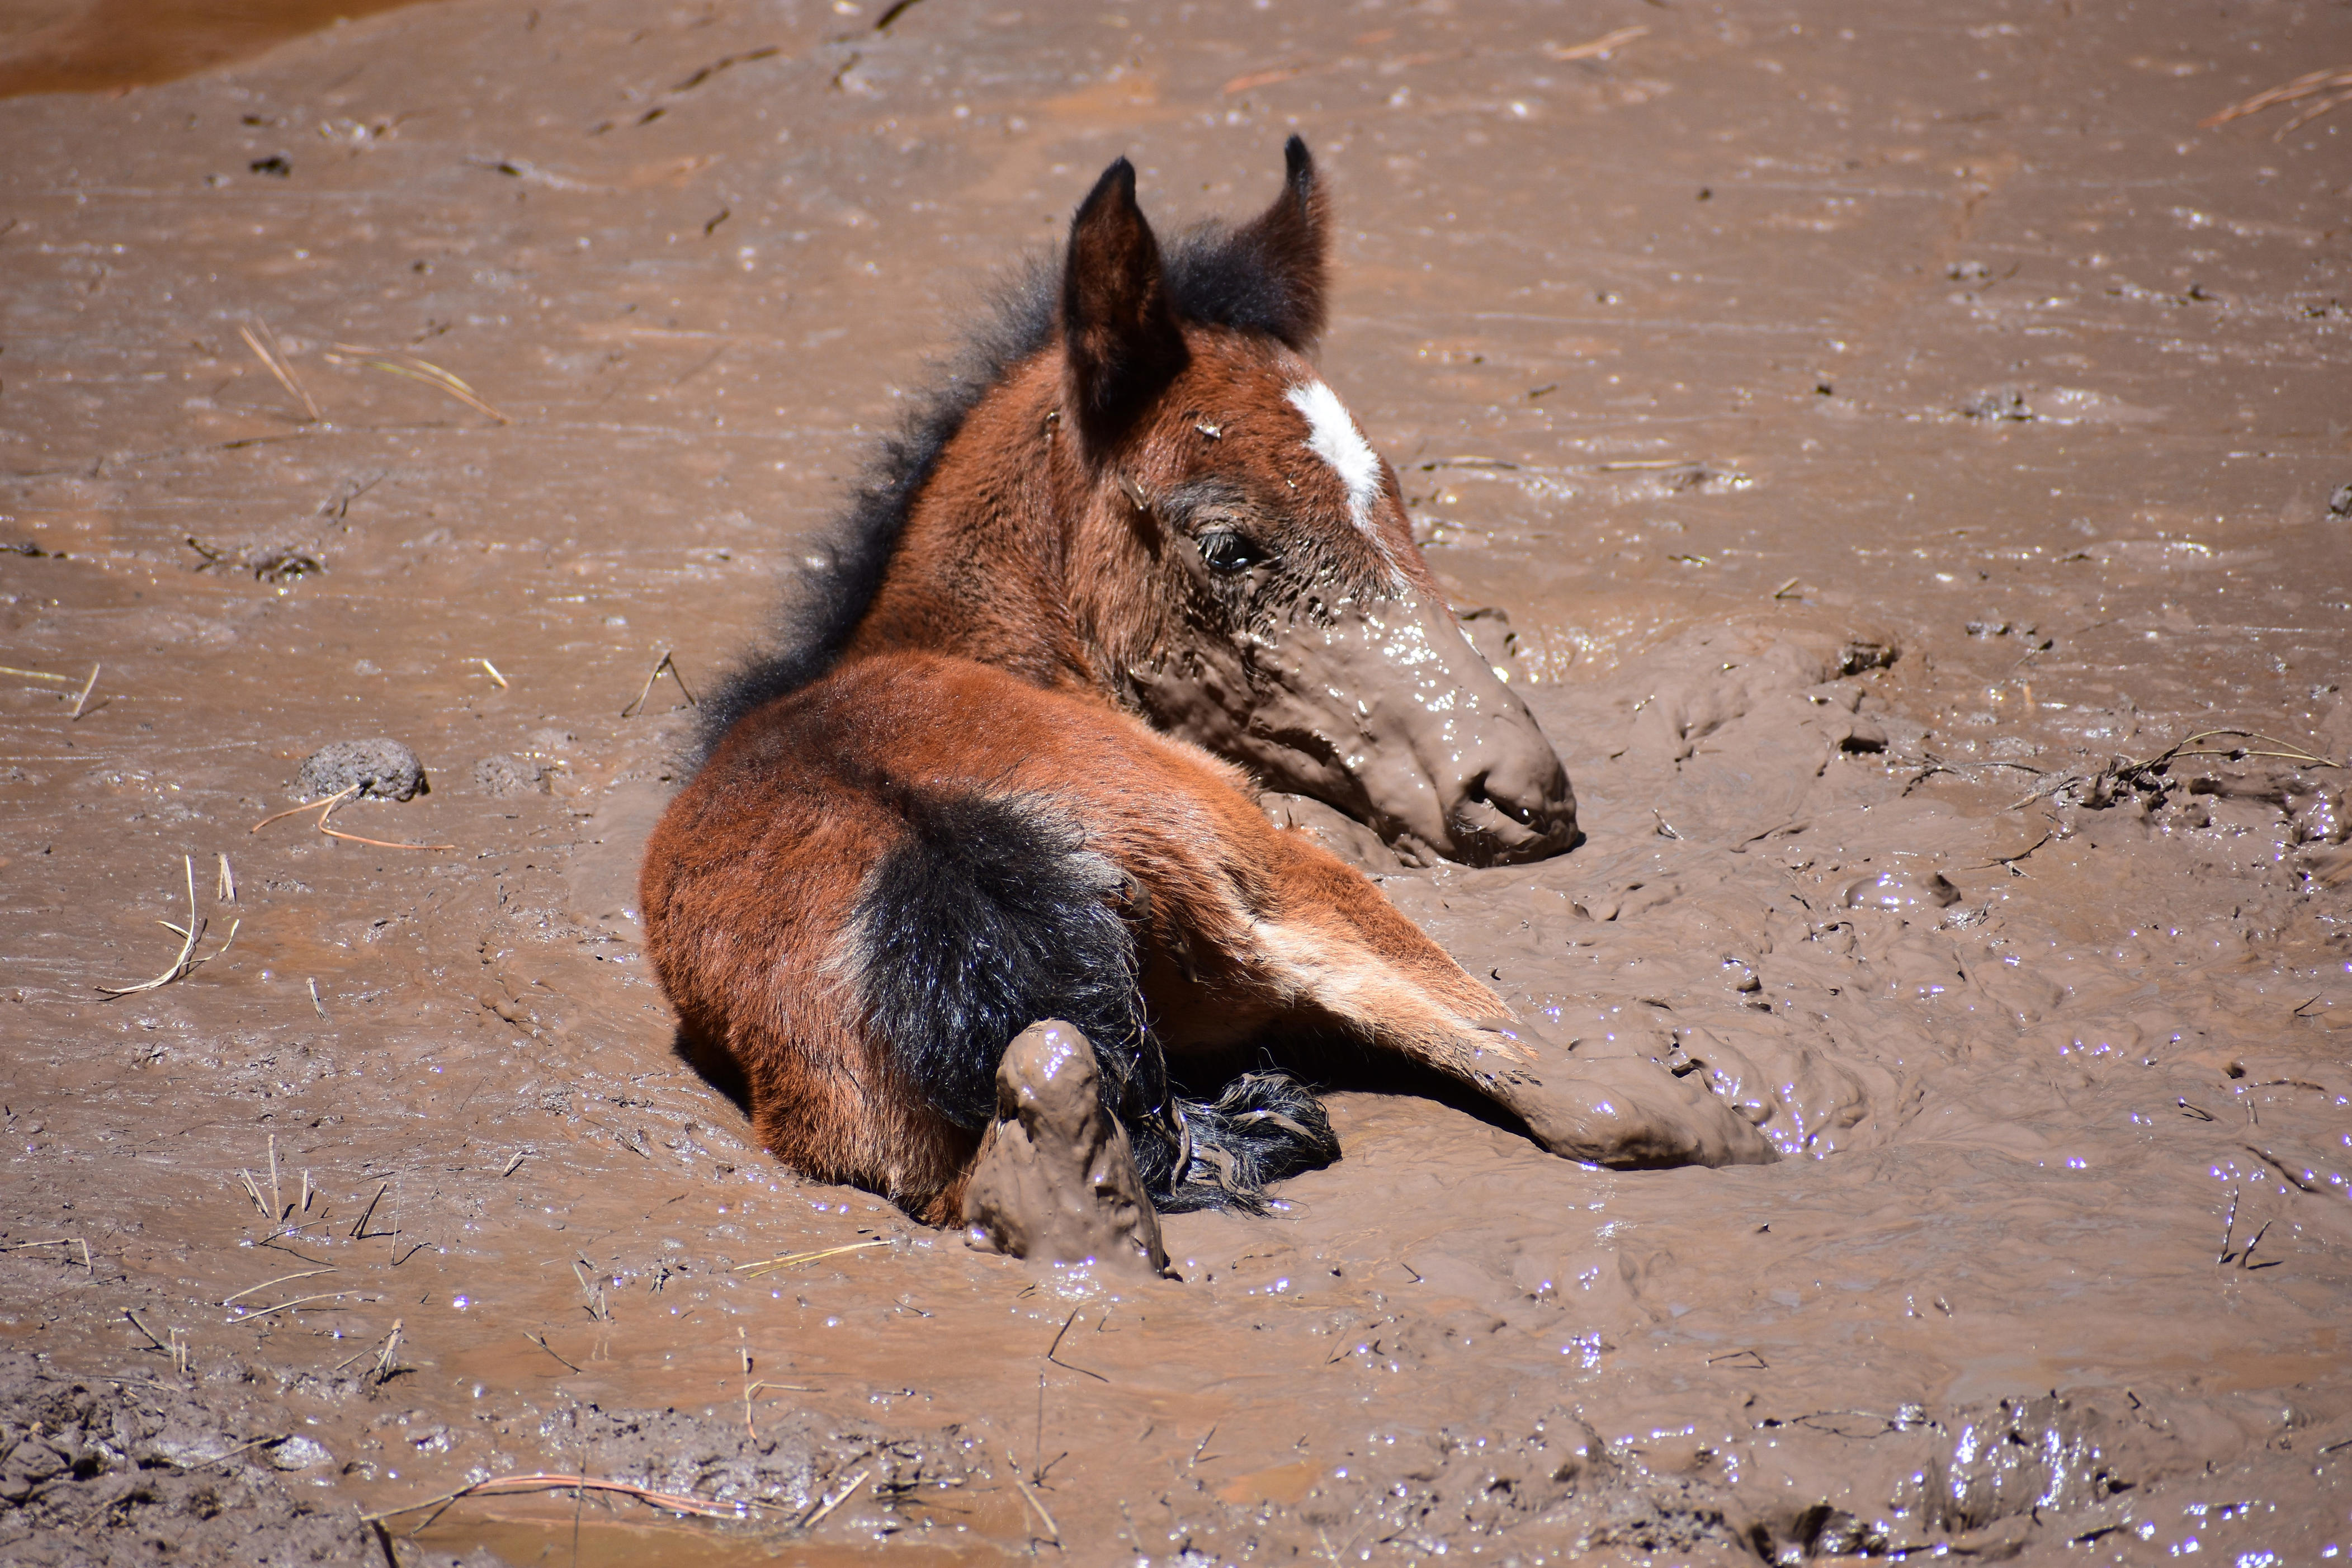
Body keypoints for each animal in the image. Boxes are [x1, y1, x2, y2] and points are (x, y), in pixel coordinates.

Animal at [641, 139, 1774, 1265]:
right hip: (1302, 886)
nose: (1520, 796)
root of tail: (954, 859)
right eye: (1229, 545)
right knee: (1580, 1086)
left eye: (1395, 498)